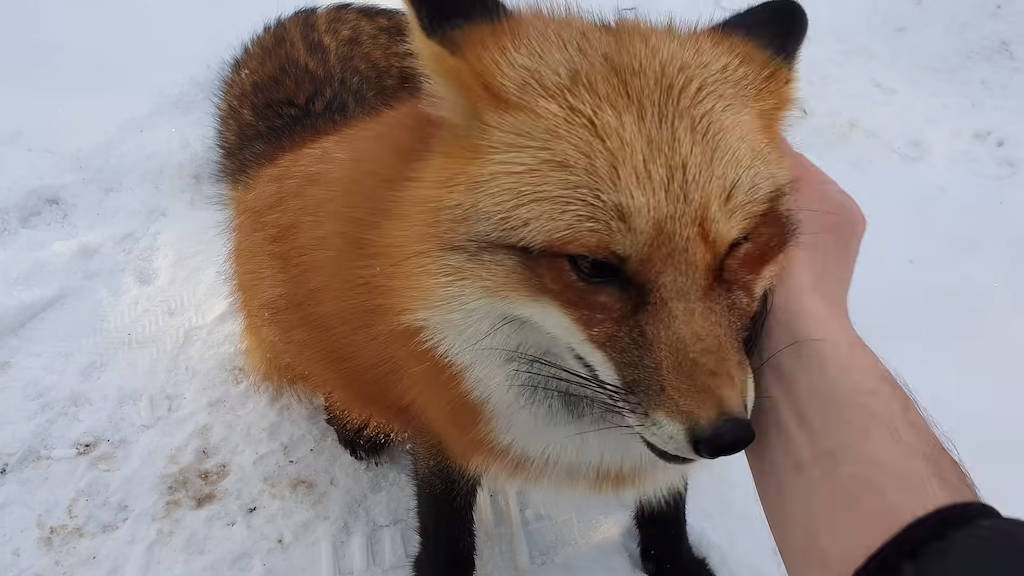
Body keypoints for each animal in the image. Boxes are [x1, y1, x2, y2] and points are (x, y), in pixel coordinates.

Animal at [216, 0, 808, 574]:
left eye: (739, 245)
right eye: (591, 265)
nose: (727, 437)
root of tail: (298, 144)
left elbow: (665, 507)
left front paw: (675, 563)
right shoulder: (441, 423)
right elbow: (446, 537)